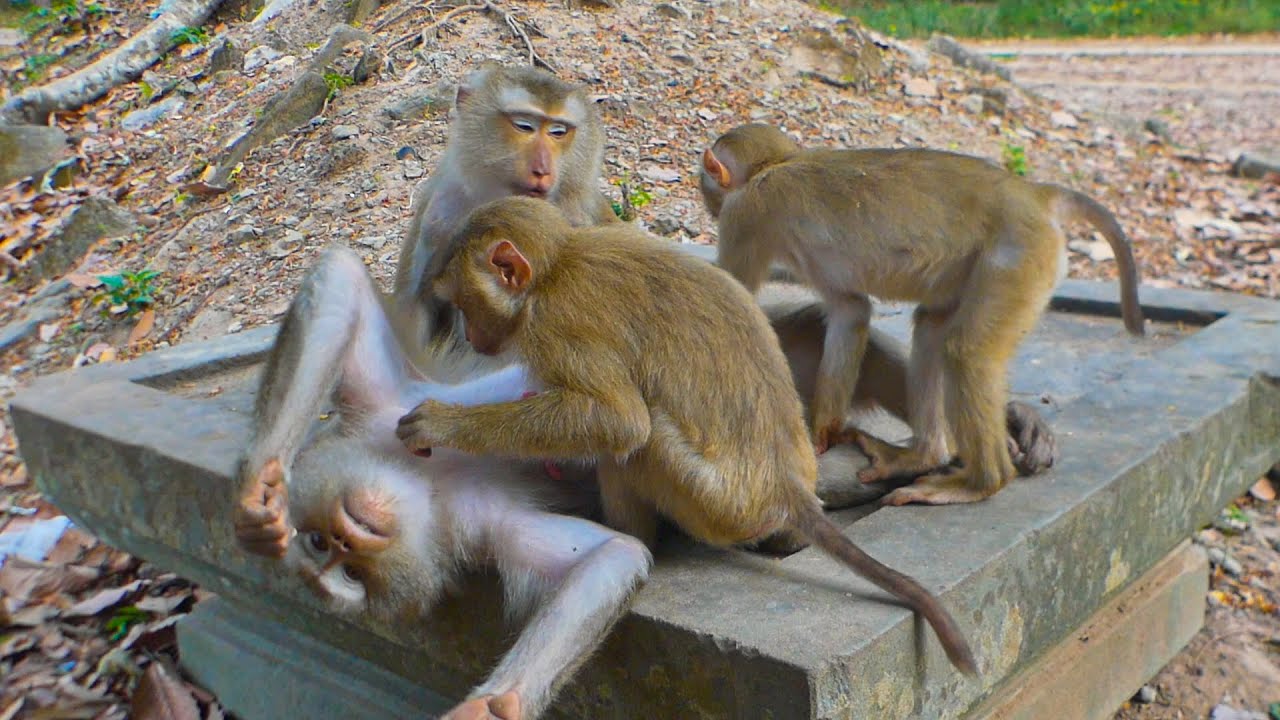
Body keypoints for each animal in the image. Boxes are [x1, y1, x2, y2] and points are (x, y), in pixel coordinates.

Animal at [395, 197, 980, 676]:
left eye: (464, 305)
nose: (472, 337)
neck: (557, 264)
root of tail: (787, 488)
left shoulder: (558, 327)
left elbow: (619, 421)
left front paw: (444, 423)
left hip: (712, 503)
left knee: (639, 444)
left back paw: (632, 535)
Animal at [698, 123, 1141, 506]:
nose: (705, 196)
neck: (776, 164)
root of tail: (1033, 193)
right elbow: (851, 310)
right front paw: (823, 433)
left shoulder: (744, 214)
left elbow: (735, 296)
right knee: (930, 329)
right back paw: (927, 455)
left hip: (1019, 256)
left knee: (968, 351)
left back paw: (980, 482)